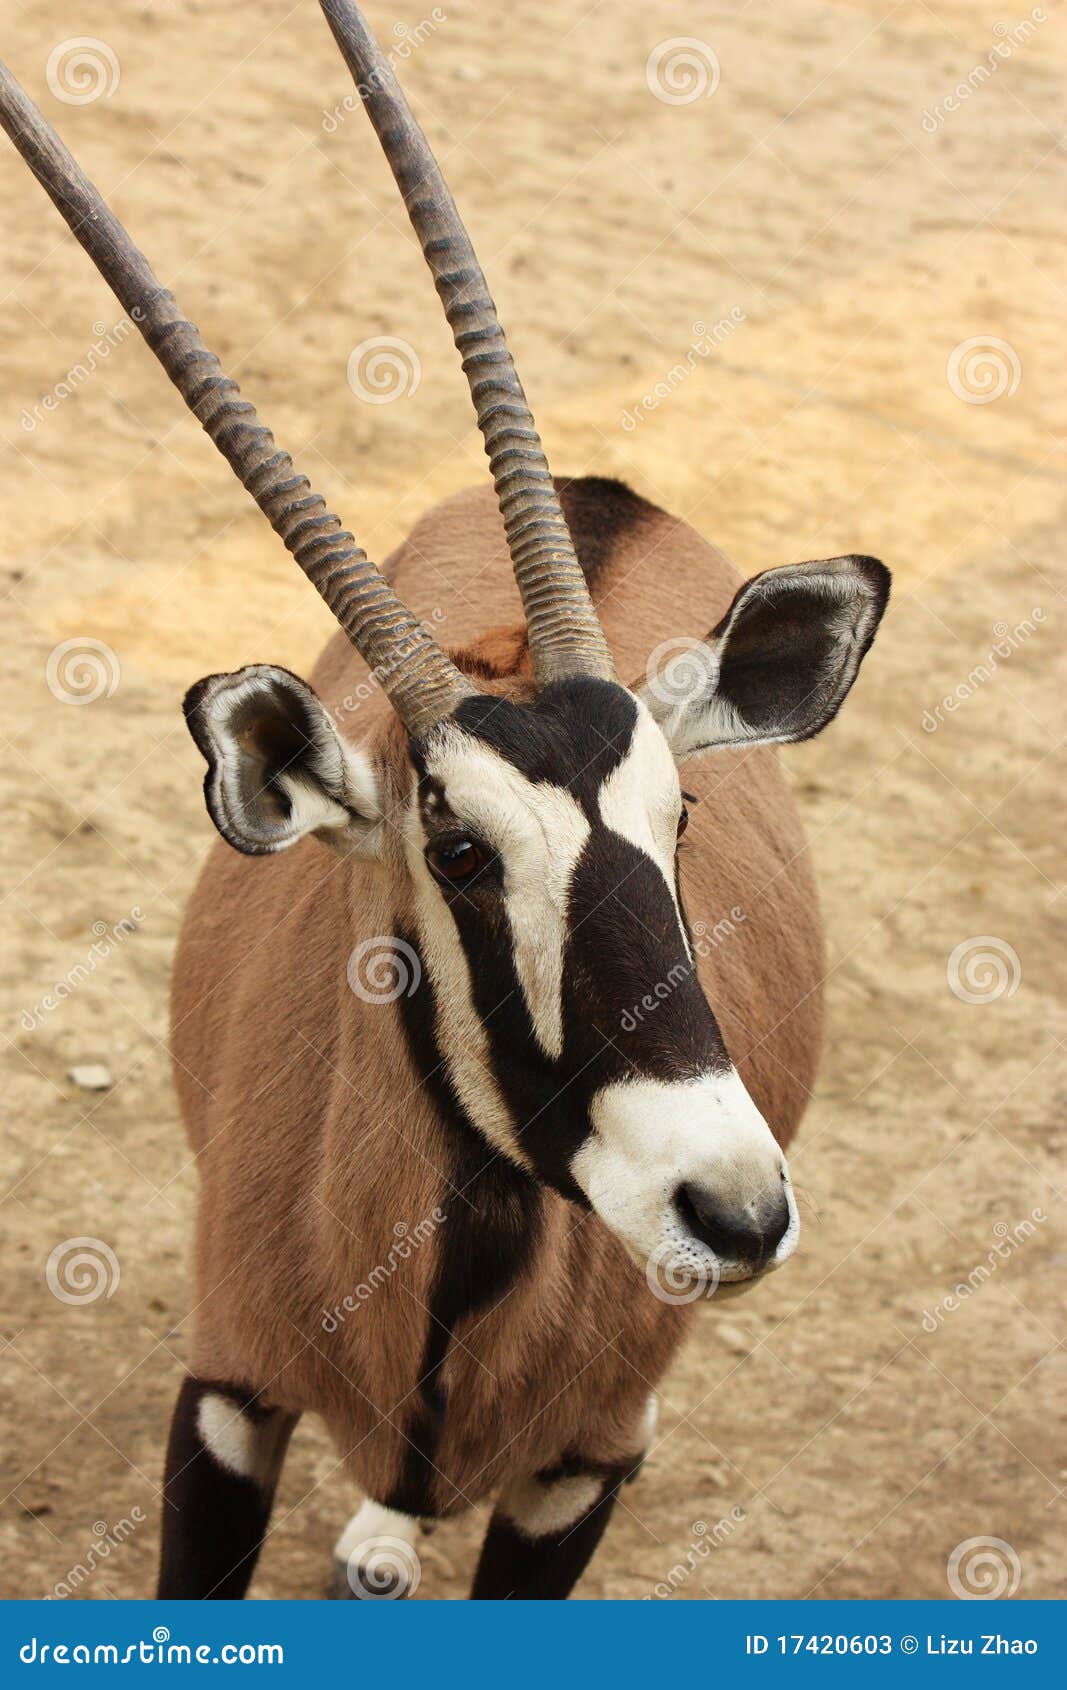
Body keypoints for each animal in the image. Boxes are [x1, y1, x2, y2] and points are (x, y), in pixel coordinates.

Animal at [2, 0, 889, 1601]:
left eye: (677, 822)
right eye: (459, 850)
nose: (731, 1209)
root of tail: (602, 490)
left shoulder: (582, 1468)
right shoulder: (227, 1404)